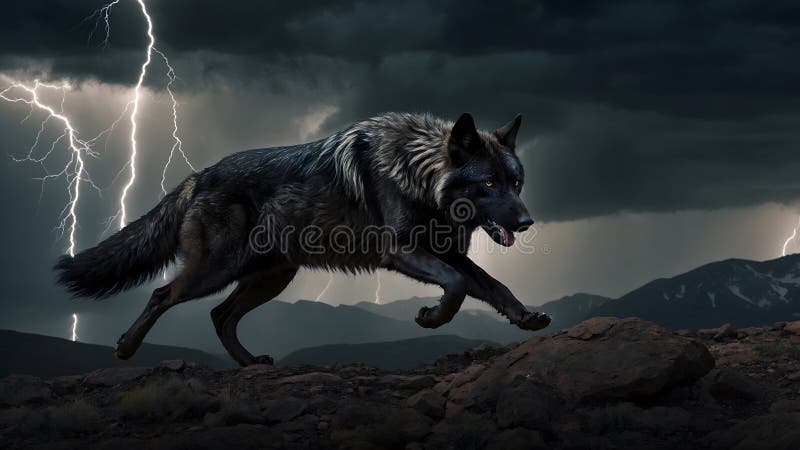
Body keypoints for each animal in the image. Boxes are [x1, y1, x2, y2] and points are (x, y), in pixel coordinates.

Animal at [55, 112, 551, 366]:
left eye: (516, 182)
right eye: (488, 184)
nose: (527, 222)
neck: (416, 174)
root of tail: (199, 175)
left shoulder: (450, 255)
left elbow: (492, 285)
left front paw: (525, 317)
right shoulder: (403, 251)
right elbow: (458, 286)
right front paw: (431, 318)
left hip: (270, 279)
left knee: (220, 315)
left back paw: (249, 363)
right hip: (216, 271)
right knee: (163, 294)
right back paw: (127, 346)